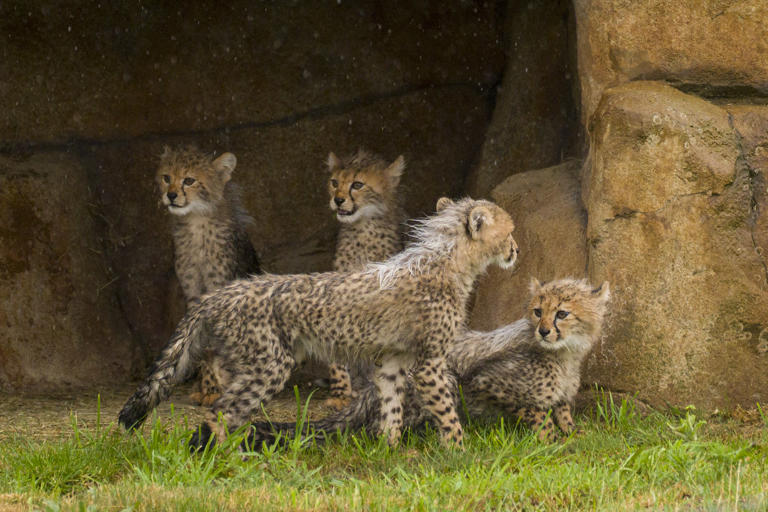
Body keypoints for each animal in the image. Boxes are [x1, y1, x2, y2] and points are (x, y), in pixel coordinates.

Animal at [118, 197, 519, 449]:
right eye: (510, 232)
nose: (516, 250)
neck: (450, 258)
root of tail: (222, 291)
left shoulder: (392, 359)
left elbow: (391, 404)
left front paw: (388, 450)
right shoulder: (429, 362)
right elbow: (445, 410)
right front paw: (459, 452)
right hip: (269, 364)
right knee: (220, 411)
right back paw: (220, 457)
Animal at [156, 146, 260, 407]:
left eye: (189, 180)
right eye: (166, 177)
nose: (171, 195)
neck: (196, 222)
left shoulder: (219, 290)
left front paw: (213, 389)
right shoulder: (193, 293)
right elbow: (198, 339)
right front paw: (206, 387)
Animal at [245, 277, 610, 446]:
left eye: (562, 313)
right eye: (537, 311)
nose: (544, 330)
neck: (564, 355)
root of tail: (366, 394)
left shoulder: (563, 394)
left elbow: (562, 411)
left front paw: (574, 433)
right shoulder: (485, 381)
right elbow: (533, 410)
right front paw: (548, 439)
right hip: (436, 381)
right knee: (378, 428)